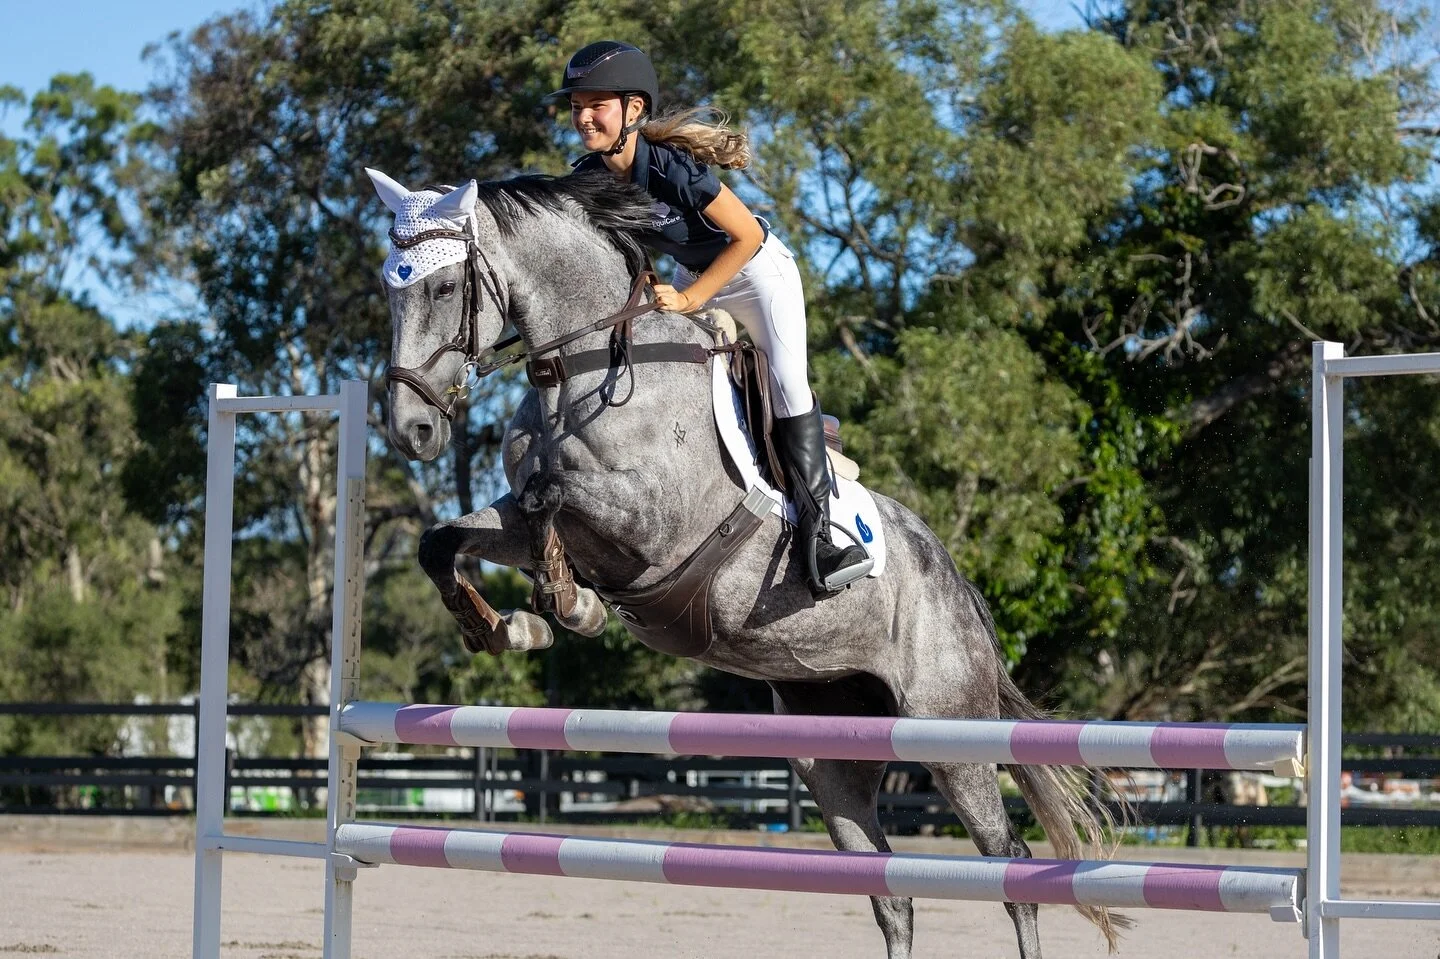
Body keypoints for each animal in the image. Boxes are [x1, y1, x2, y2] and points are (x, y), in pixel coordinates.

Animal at [365, 165, 1126, 958]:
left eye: (442, 290)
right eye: (389, 290)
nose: (410, 429)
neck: (585, 363)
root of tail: (957, 585)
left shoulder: (650, 522)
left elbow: (553, 498)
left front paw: (569, 605)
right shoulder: (520, 518)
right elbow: (444, 540)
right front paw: (505, 626)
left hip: (948, 731)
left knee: (1009, 863)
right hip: (831, 754)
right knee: (889, 888)